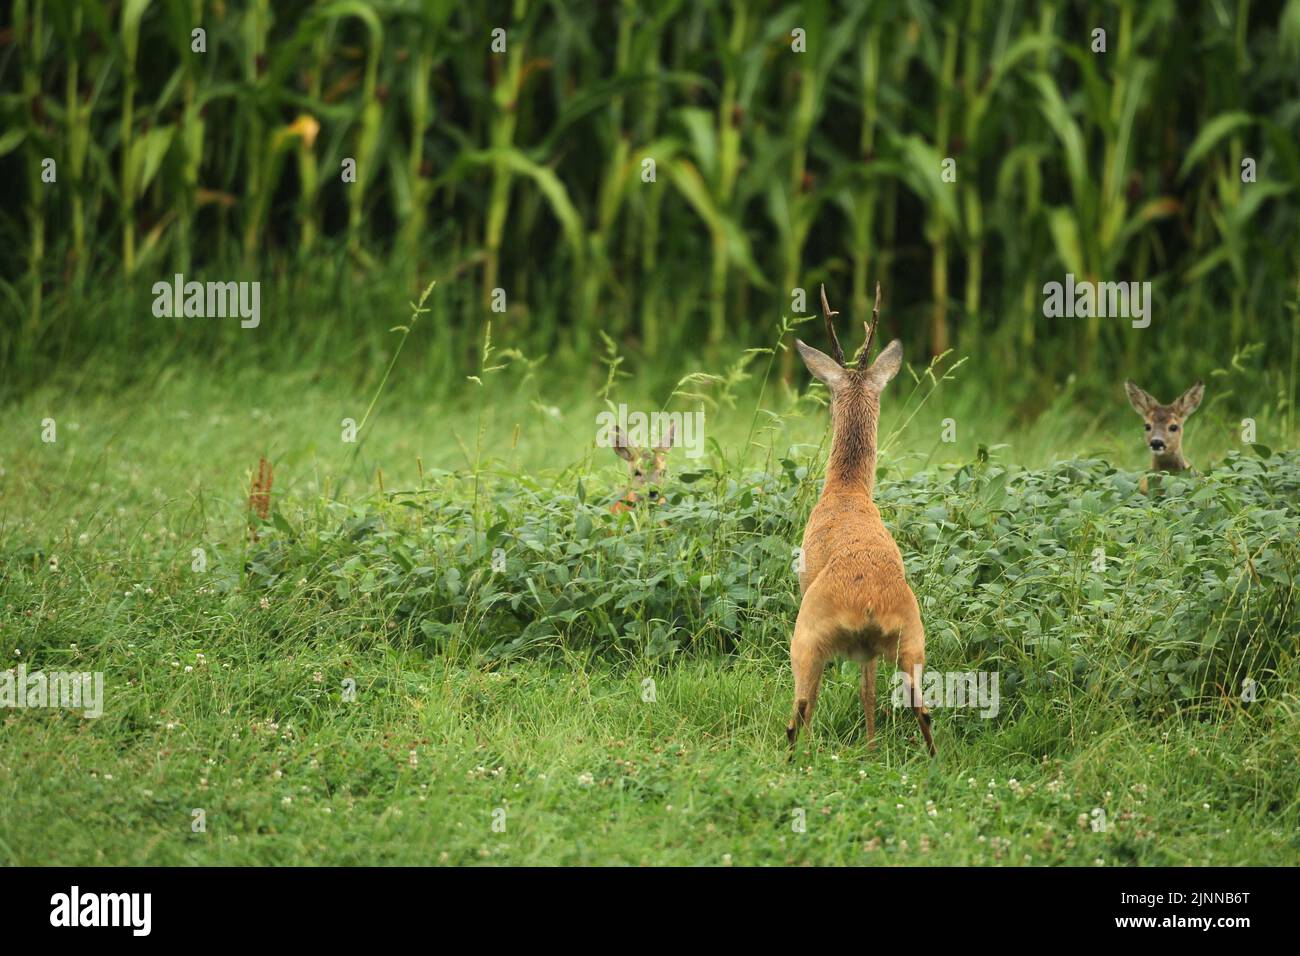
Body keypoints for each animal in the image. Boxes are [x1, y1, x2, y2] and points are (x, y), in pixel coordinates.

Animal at [787, 284, 935, 757]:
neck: (847, 490)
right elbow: (867, 691)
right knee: (920, 709)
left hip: (806, 636)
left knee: (802, 707)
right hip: (913, 641)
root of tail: (868, 603)